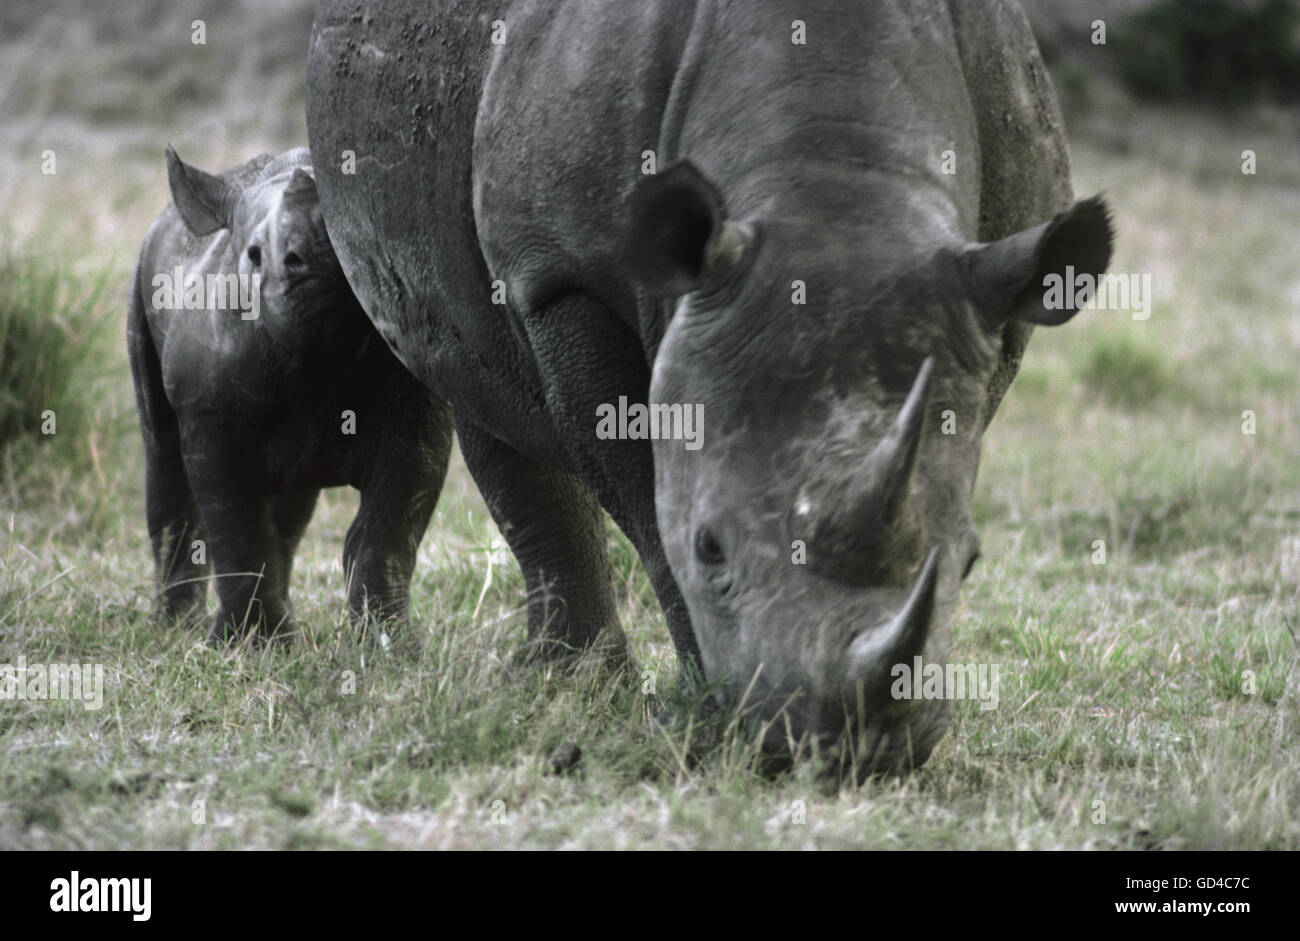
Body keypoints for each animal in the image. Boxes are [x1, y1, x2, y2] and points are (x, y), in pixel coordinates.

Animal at [127, 146, 452, 644]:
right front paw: (247, 645)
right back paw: (177, 626)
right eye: (255, 255)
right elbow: (237, 528)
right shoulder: (210, 415)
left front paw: (387, 646)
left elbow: (390, 530)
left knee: (291, 508)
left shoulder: (418, 412)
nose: (316, 264)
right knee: (162, 454)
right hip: (142, 282)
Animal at [305, 0, 1112, 774]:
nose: (856, 751)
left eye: (973, 561)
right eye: (711, 548)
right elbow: (648, 503)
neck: (834, 178)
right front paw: (707, 715)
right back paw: (551, 683)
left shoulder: (988, 296)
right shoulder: (564, 275)